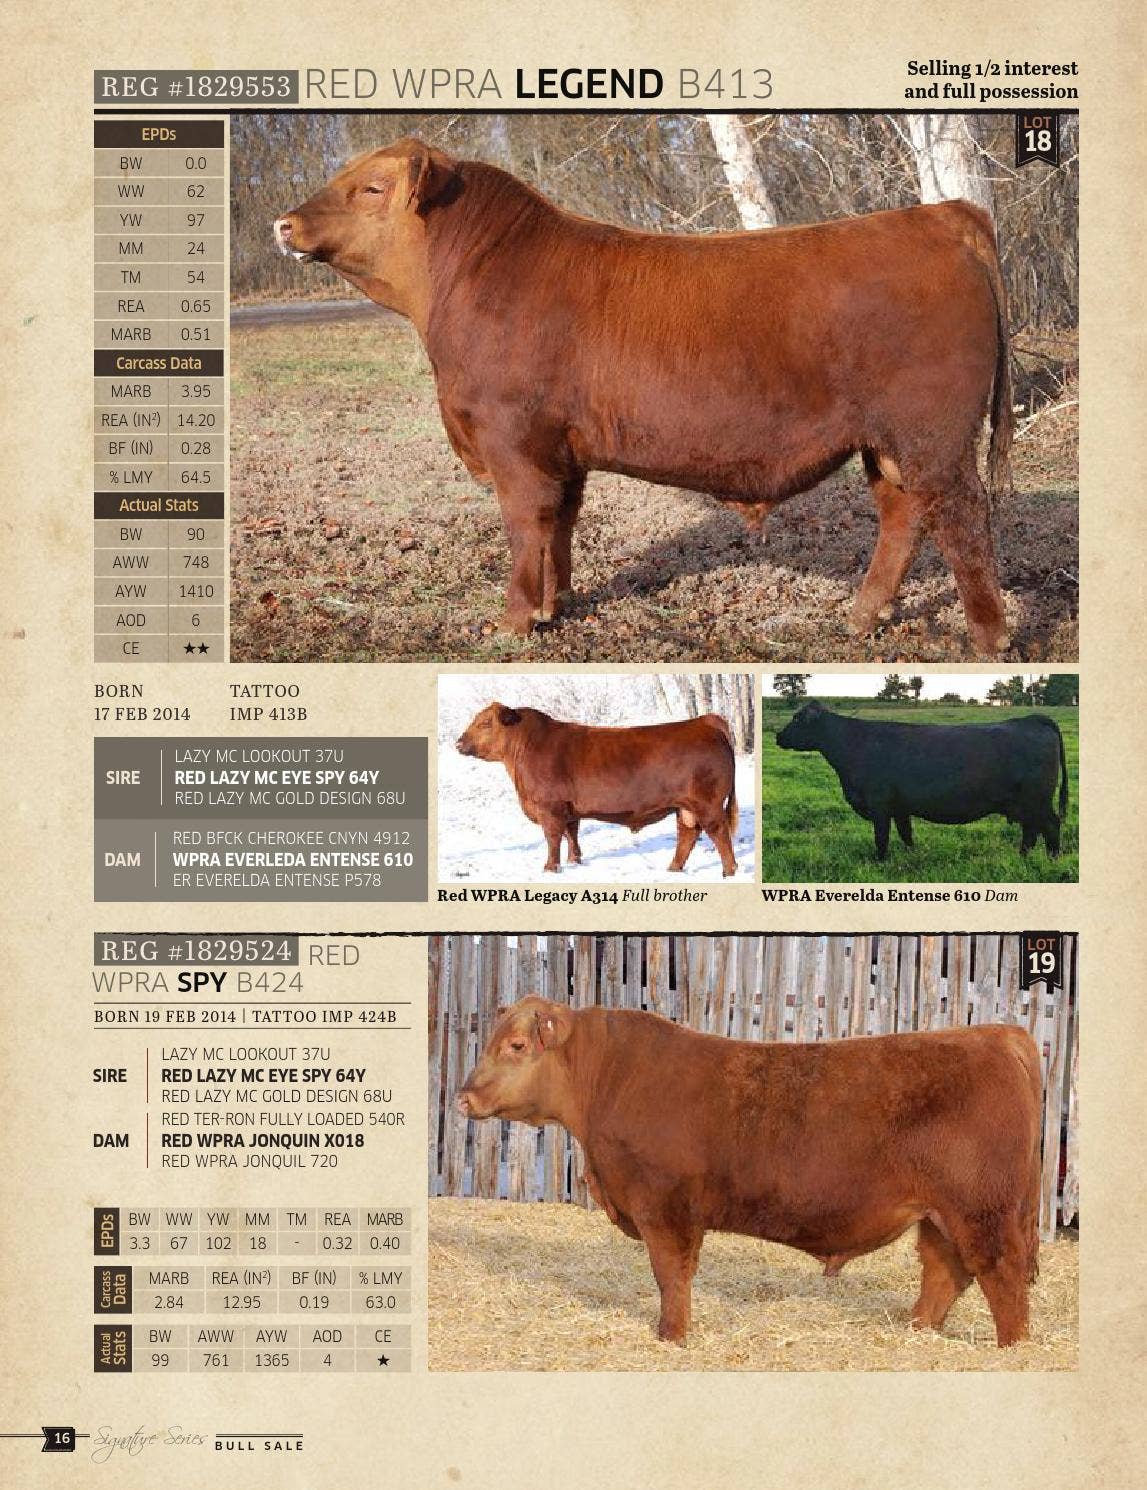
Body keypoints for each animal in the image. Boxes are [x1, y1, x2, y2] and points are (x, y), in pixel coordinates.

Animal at [273, 137, 1014, 655]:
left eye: (370, 187)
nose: (283, 223)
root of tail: (941, 215)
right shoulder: (559, 449)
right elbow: (559, 521)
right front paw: (554, 605)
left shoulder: (510, 438)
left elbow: (524, 522)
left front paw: (513, 621)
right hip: (887, 443)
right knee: (904, 515)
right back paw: (863, 617)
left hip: (933, 436)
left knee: (962, 517)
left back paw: (989, 638)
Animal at [455, 703, 738, 875]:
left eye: (485, 723)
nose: (458, 742)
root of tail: (704, 721)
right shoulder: (569, 809)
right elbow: (571, 834)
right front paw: (575, 861)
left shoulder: (550, 808)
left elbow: (553, 838)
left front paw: (550, 868)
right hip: (685, 807)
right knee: (687, 835)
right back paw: (673, 869)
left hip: (708, 803)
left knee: (719, 833)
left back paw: (729, 872)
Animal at [457, 998, 1042, 1346]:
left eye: (516, 1046)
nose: (463, 1098)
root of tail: (998, 1034)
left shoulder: (665, 1209)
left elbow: (671, 1275)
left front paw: (672, 1337)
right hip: (940, 1214)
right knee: (945, 1270)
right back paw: (916, 1330)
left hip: (983, 1208)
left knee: (1002, 1273)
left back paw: (1011, 1349)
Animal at [775, 702, 1069, 860]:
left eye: (797, 718)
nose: (778, 736)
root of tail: (1032, 719)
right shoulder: (900, 807)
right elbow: (906, 834)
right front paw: (912, 857)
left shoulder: (879, 804)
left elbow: (881, 837)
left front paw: (880, 862)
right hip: (1024, 803)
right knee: (1031, 831)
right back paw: (1023, 857)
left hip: (1037, 799)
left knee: (1050, 826)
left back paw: (1052, 860)